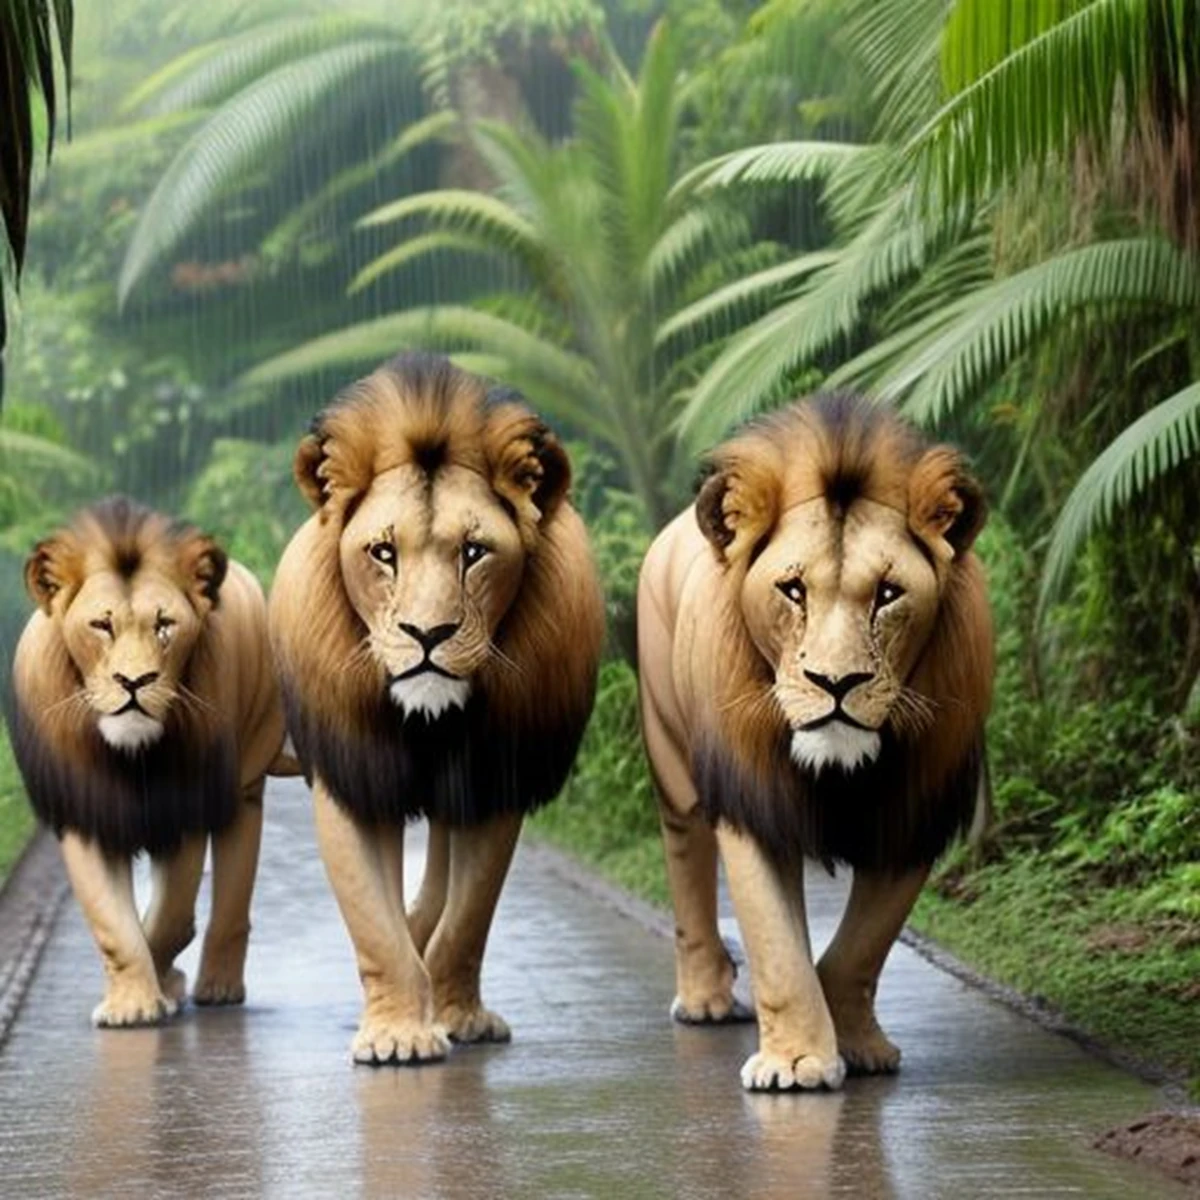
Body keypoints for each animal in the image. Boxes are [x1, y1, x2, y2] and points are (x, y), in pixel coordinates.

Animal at [8, 497, 288, 1026]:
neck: (131, 753)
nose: (133, 682)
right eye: (101, 625)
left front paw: (161, 985)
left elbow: (169, 918)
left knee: (233, 893)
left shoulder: (184, 808)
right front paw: (132, 1006)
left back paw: (217, 986)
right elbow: (115, 926)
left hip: (246, 784)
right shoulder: (85, 811)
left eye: (164, 625)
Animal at [269, 352, 604, 1066]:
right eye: (383, 552)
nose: (428, 635)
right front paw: (398, 1034)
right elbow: (375, 921)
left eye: (474, 552)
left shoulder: (493, 775)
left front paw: (456, 1017)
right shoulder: (353, 774)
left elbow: (466, 918)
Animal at [637, 393, 993, 1091]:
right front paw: (797, 1062)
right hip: (674, 766)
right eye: (792, 589)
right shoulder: (751, 800)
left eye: (888, 593)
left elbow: (863, 945)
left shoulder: (915, 808)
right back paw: (705, 999)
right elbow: (775, 945)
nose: (836, 682)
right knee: (688, 863)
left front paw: (854, 1040)